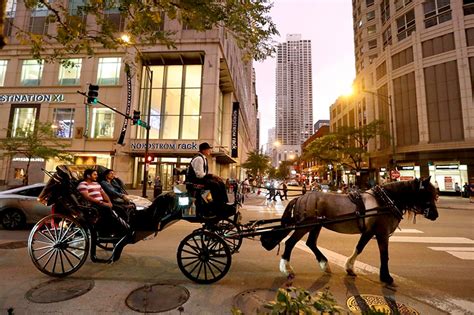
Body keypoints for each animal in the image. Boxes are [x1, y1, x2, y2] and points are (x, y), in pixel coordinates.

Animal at [262, 178, 438, 286]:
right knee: (290, 242)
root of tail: (300, 197)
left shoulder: (369, 232)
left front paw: (350, 268)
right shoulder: (381, 232)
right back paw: (286, 269)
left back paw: (324, 264)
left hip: (316, 226)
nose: (435, 215)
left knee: (311, 243)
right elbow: (384, 255)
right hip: (305, 226)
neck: (386, 201)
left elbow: (359, 248)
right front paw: (386, 277)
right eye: (426, 194)